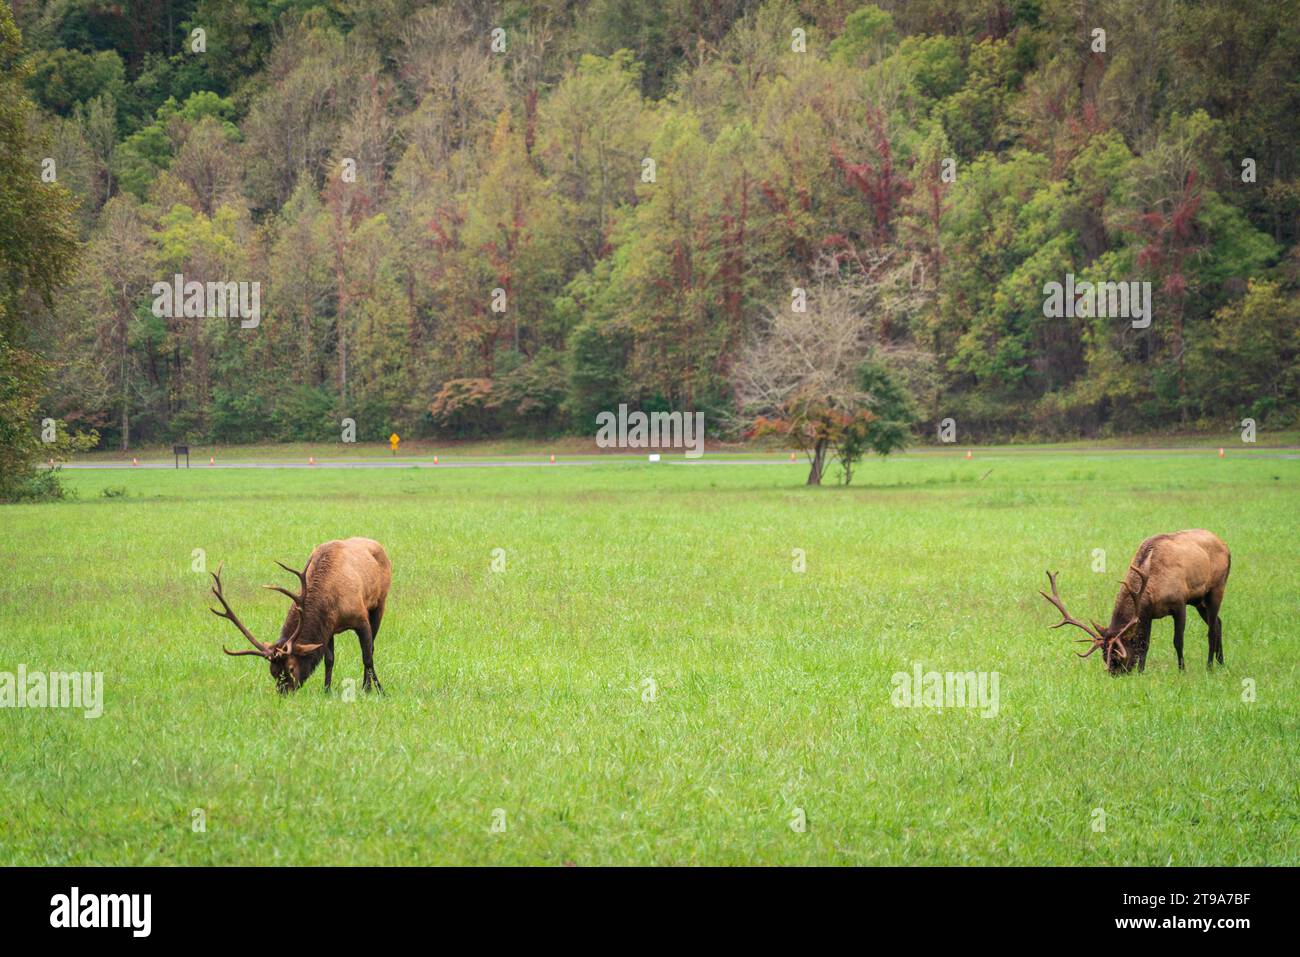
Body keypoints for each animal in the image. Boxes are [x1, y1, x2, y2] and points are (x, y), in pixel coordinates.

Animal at [211, 537, 391, 693]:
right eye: (272, 671)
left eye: (290, 668)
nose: (283, 693)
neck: (332, 603)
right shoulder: (327, 628)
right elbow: (329, 659)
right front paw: (326, 690)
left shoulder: (361, 619)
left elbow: (367, 656)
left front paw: (375, 690)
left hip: (379, 604)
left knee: (372, 648)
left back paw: (370, 687)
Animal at [1040, 529, 1230, 674]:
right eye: (1103, 656)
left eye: (1117, 656)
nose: (1115, 674)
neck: (1152, 589)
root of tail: (1225, 545)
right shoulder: (1147, 613)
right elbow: (1144, 643)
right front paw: (1141, 671)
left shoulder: (1179, 603)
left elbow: (1178, 640)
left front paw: (1181, 670)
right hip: (1199, 600)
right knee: (1219, 622)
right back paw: (1221, 662)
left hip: (1216, 588)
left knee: (1212, 628)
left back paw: (1210, 666)